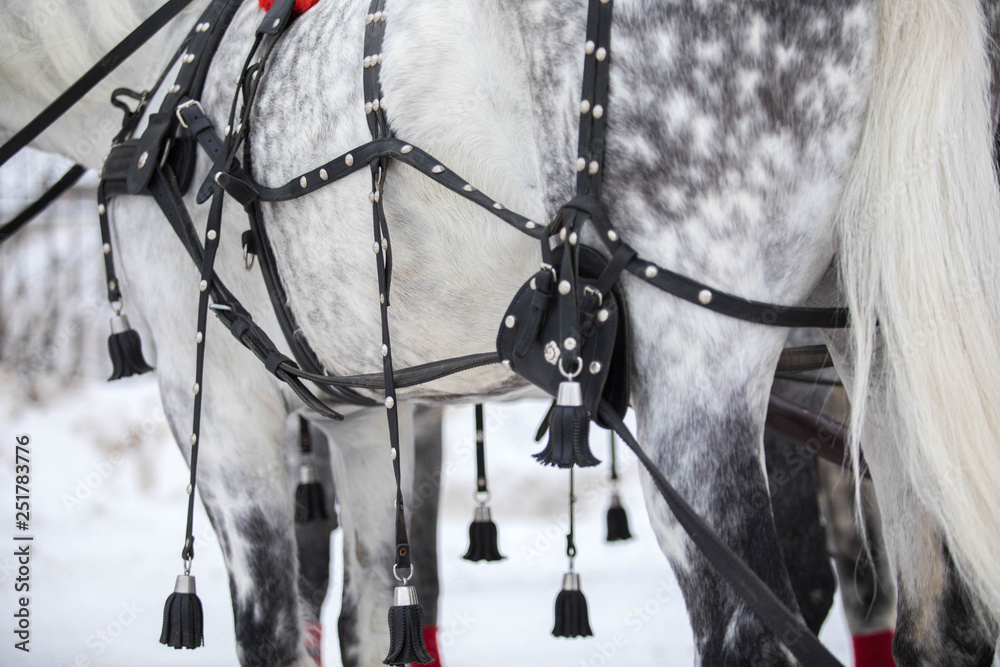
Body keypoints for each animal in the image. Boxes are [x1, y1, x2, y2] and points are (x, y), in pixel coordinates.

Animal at [4, 1, 1000, 665]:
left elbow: (275, 622)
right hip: (878, 346)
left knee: (757, 622)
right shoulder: (364, 419)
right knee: (934, 622)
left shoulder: (213, 403)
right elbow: (377, 608)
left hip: (700, 368)